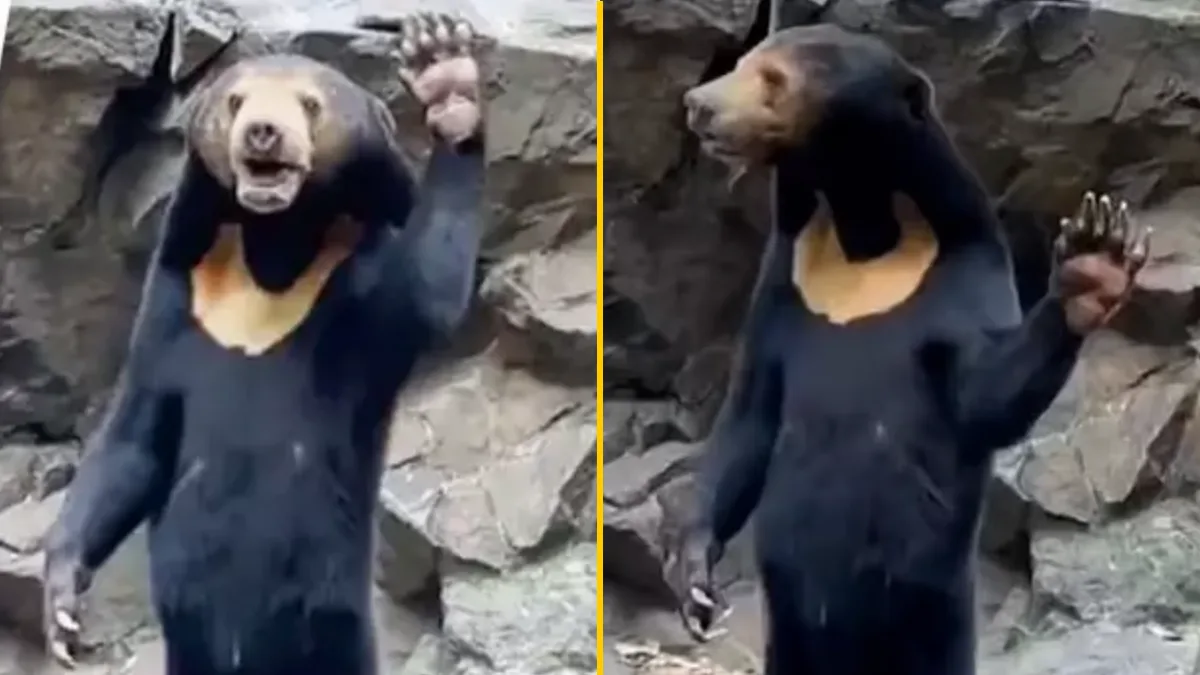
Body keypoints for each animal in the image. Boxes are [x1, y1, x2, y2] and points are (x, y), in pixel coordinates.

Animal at [39, 12, 486, 675]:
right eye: (236, 101)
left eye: (310, 104)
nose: (263, 133)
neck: (271, 245)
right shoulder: (180, 295)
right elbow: (136, 433)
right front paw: (63, 608)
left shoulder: (361, 284)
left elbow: (428, 290)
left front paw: (446, 77)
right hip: (189, 642)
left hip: (334, 626)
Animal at [672, 24, 1149, 675]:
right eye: (743, 63)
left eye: (773, 79)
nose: (698, 104)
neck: (862, 225)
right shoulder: (785, 281)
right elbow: (752, 411)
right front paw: (694, 578)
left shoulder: (960, 270)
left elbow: (983, 394)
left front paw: (1092, 260)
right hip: (790, 623)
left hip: (934, 608)